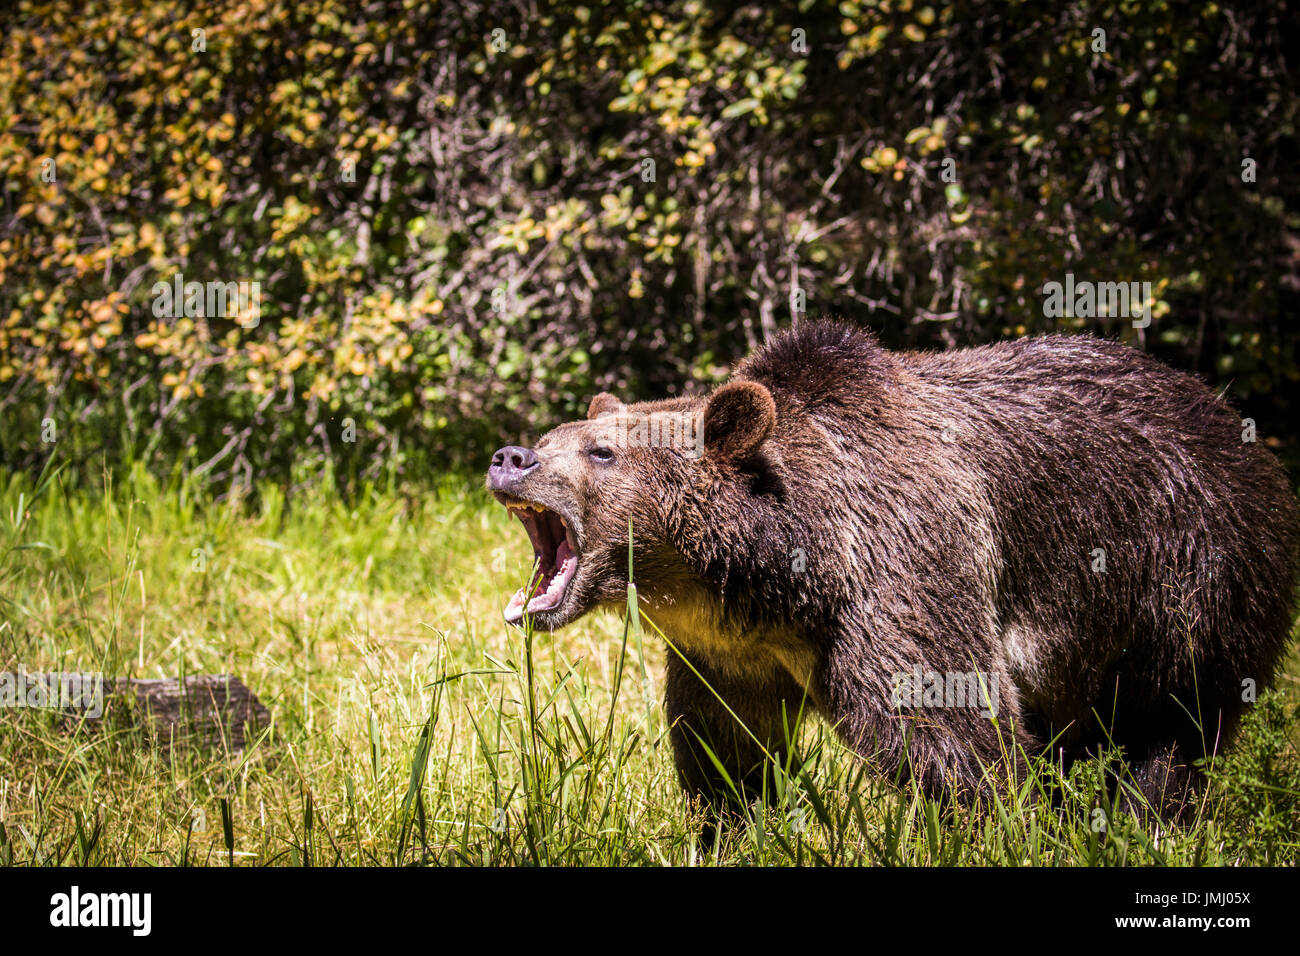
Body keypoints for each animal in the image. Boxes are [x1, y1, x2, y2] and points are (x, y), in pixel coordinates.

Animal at [485, 320, 1300, 817]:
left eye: (600, 451)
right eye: (556, 434)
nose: (510, 457)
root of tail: (1229, 417)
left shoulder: (903, 571)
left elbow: (950, 730)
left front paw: (995, 821)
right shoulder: (729, 653)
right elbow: (727, 748)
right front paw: (731, 819)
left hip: (1186, 577)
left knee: (1175, 725)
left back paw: (1142, 813)